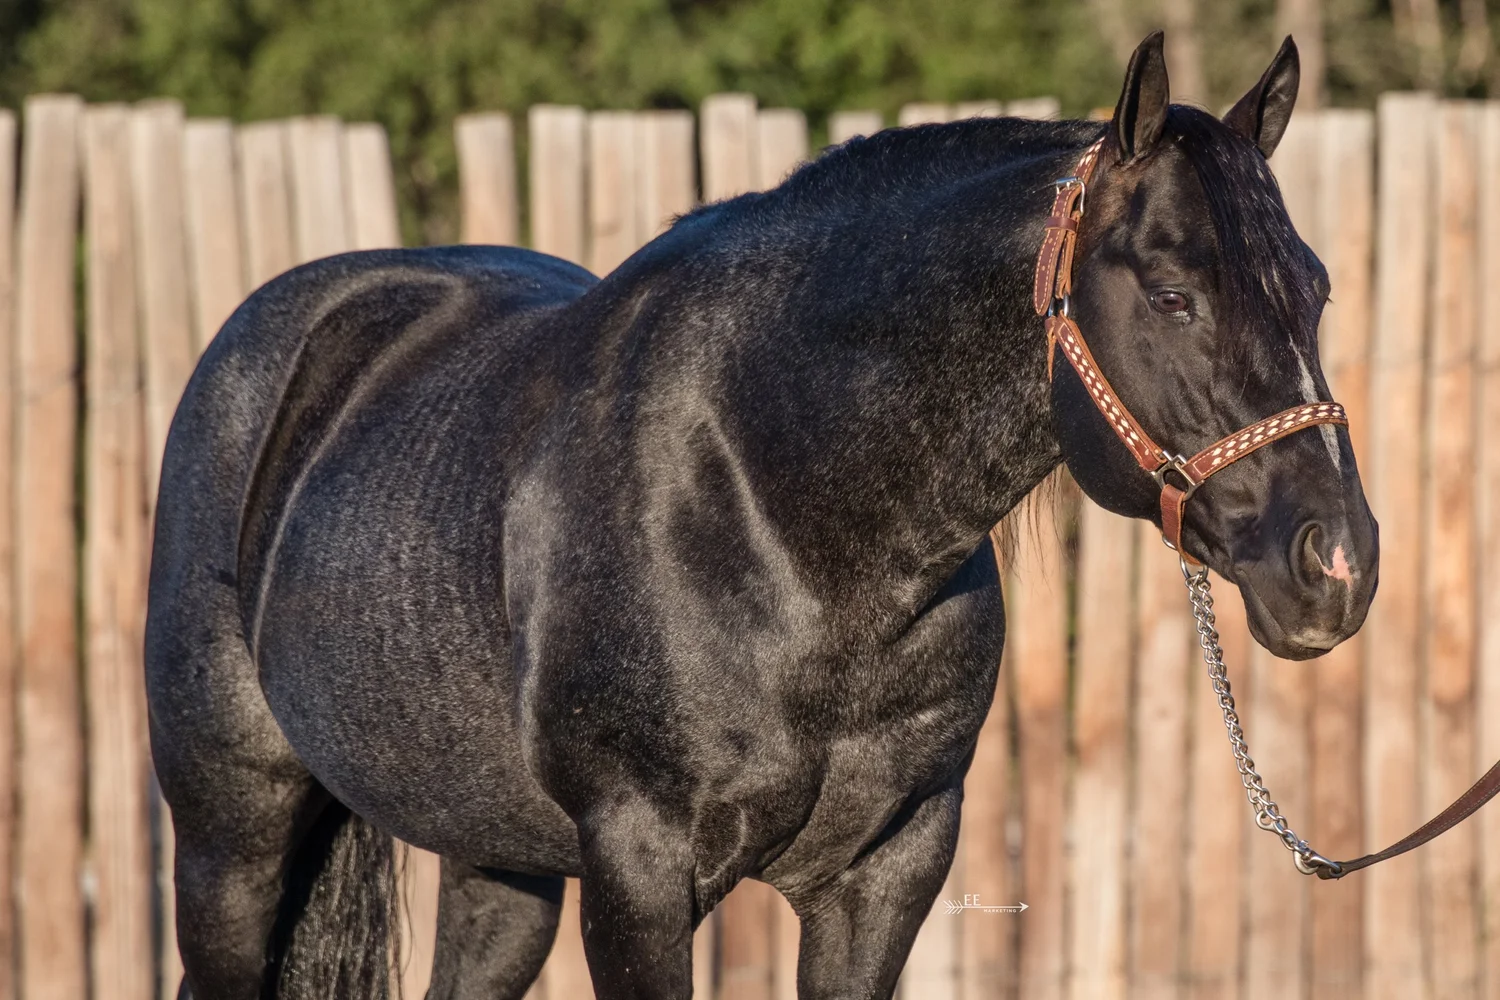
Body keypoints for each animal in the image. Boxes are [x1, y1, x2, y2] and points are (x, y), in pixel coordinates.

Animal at [146, 30, 1377, 1000]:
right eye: (1172, 294)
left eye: (1316, 288)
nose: (1338, 564)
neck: (781, 517)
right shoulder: (639, 876)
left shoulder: (887, 871)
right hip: (229, 842)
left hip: (496, 862)